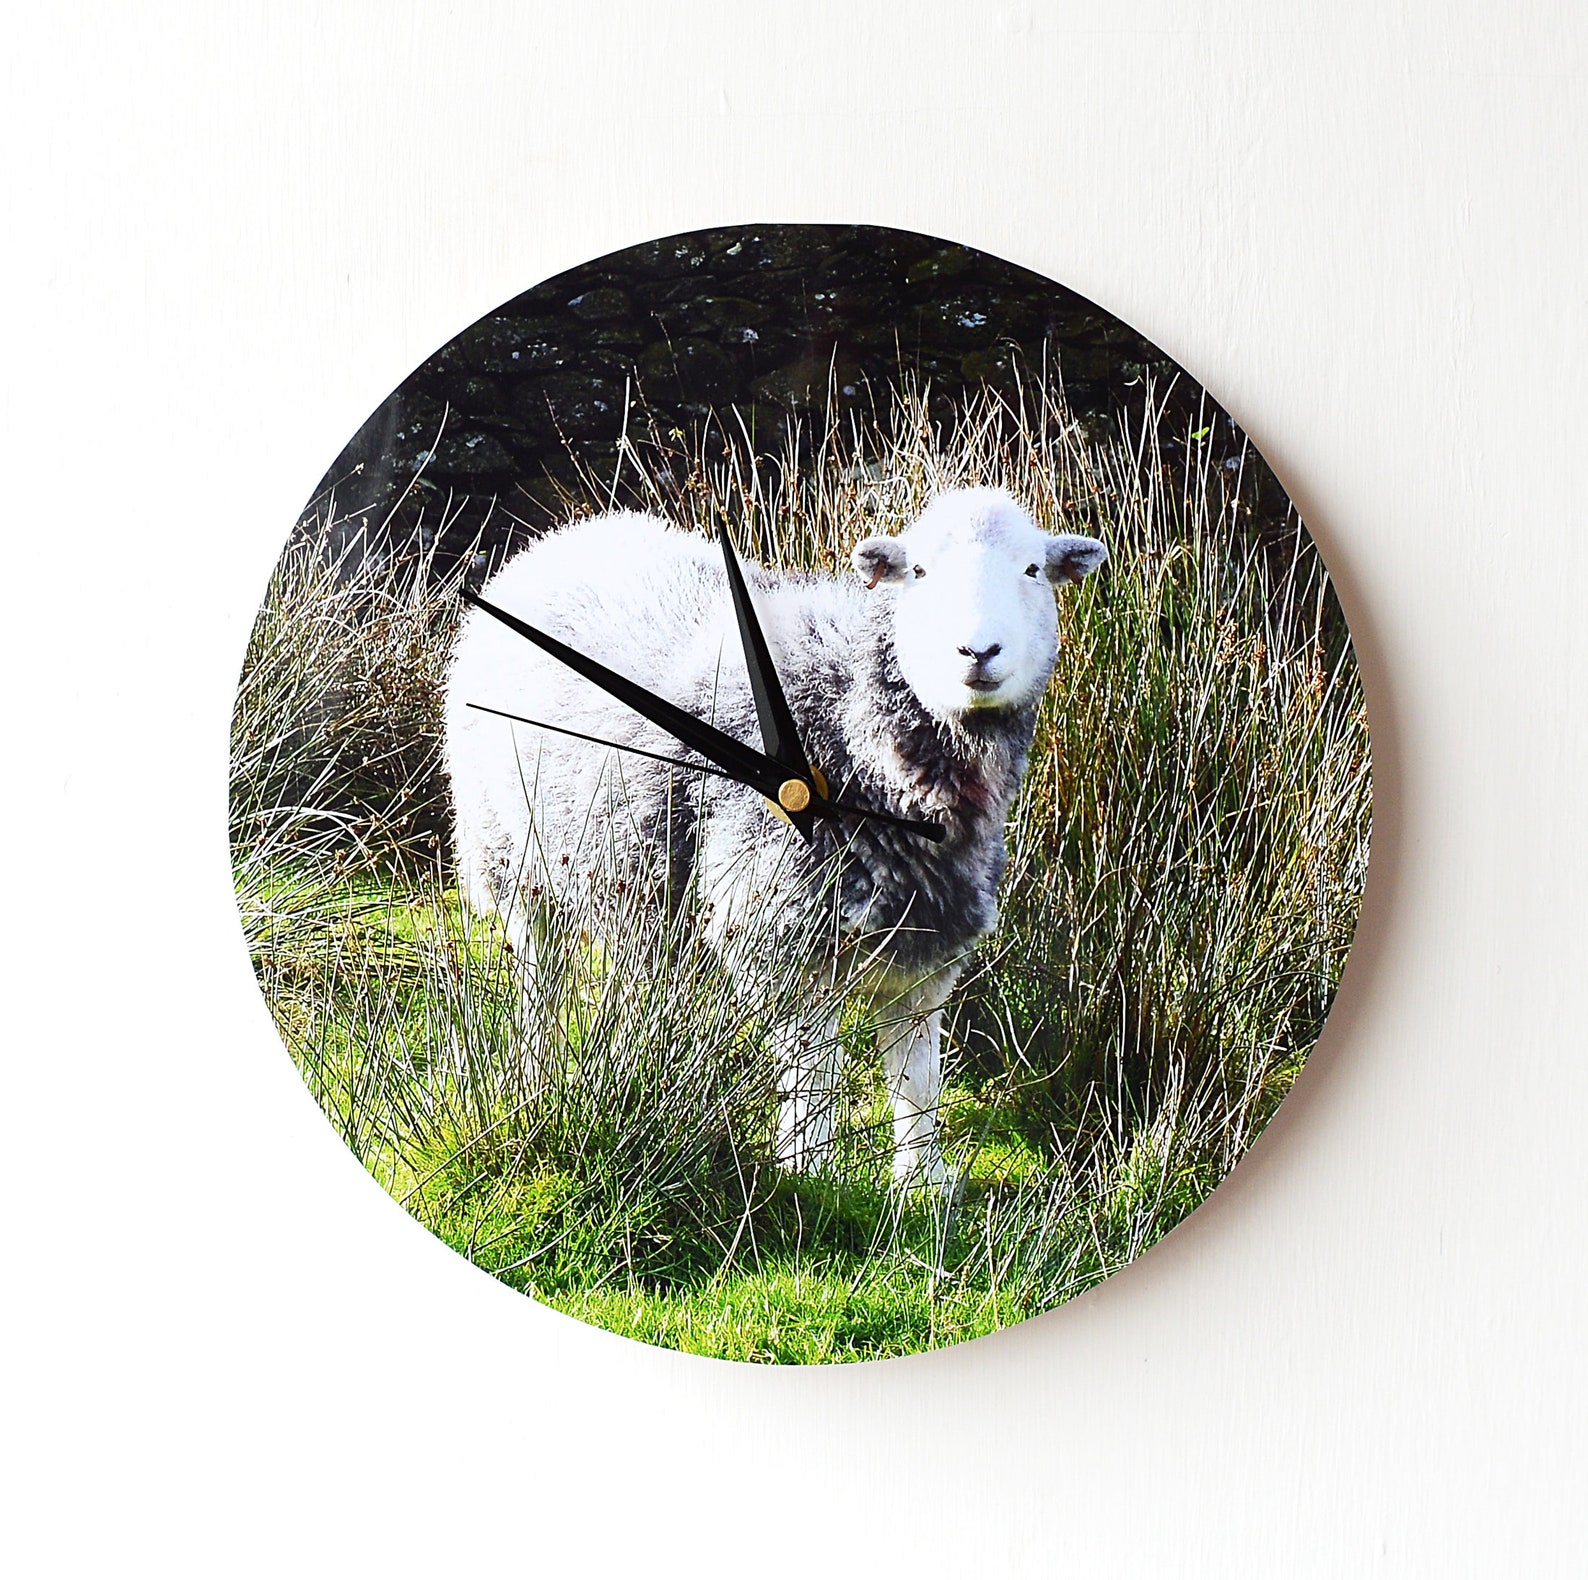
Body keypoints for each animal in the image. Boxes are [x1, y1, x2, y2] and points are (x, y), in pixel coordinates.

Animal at [443, 486, 1107, 1185]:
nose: (978, 653)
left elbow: (918, 1076)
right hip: (507, 853)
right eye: (920, 572)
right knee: (537, 975)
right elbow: (814, 1071)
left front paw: (923, 1180)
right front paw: (810, 1171)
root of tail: (563, 538)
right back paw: (537, 1073)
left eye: (1032, 570)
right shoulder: (784, 937)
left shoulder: (929, 944)